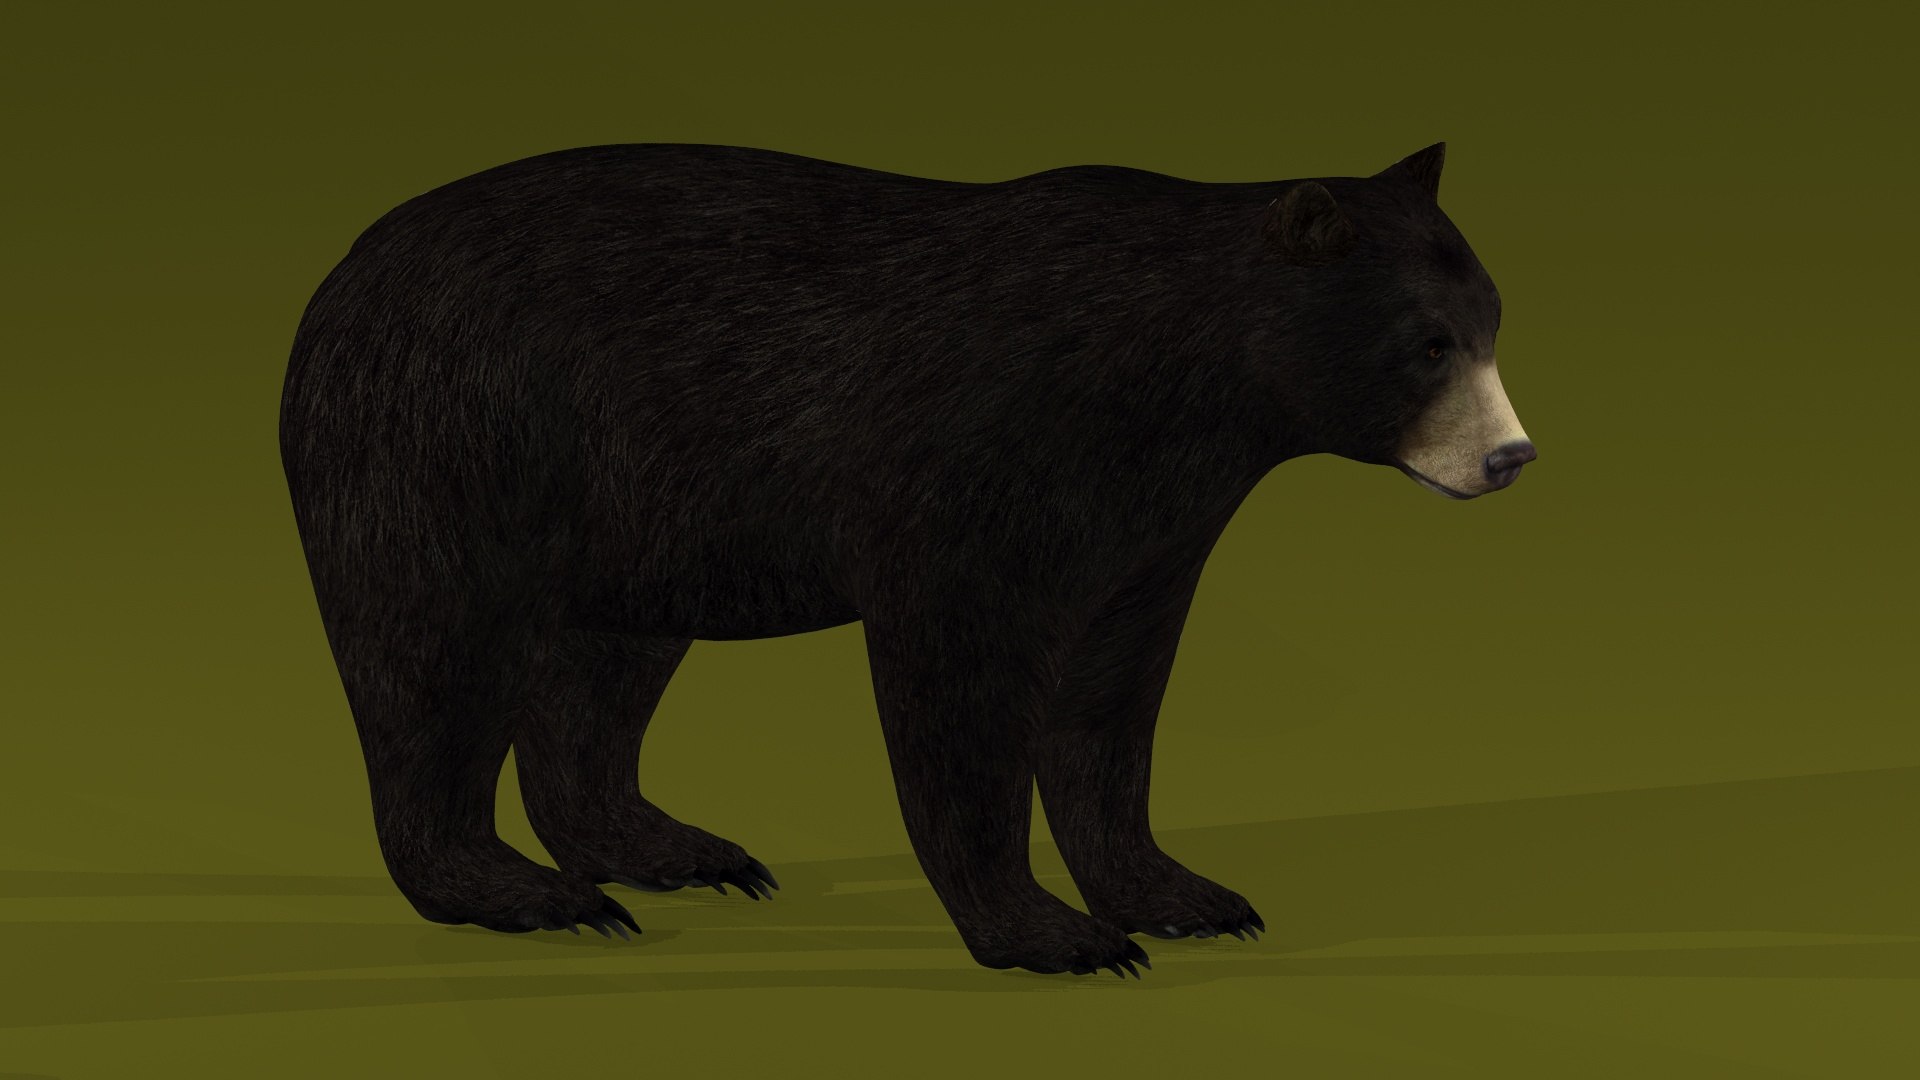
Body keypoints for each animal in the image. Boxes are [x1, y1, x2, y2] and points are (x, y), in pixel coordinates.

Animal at [279, 140, 1534, 978]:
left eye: (1492, 323)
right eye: (1428, 344)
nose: (1511, 455)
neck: (1171, 381)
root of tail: (334, 281)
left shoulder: (1151, 525)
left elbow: (1112, 697)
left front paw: (1183, 895)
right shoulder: (987, 463)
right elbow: (961, 676)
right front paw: (1052, 933)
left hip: (627, 511)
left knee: (600, 671)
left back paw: (672, 850)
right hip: (449, 442)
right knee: (431, 655)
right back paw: (524, 891)